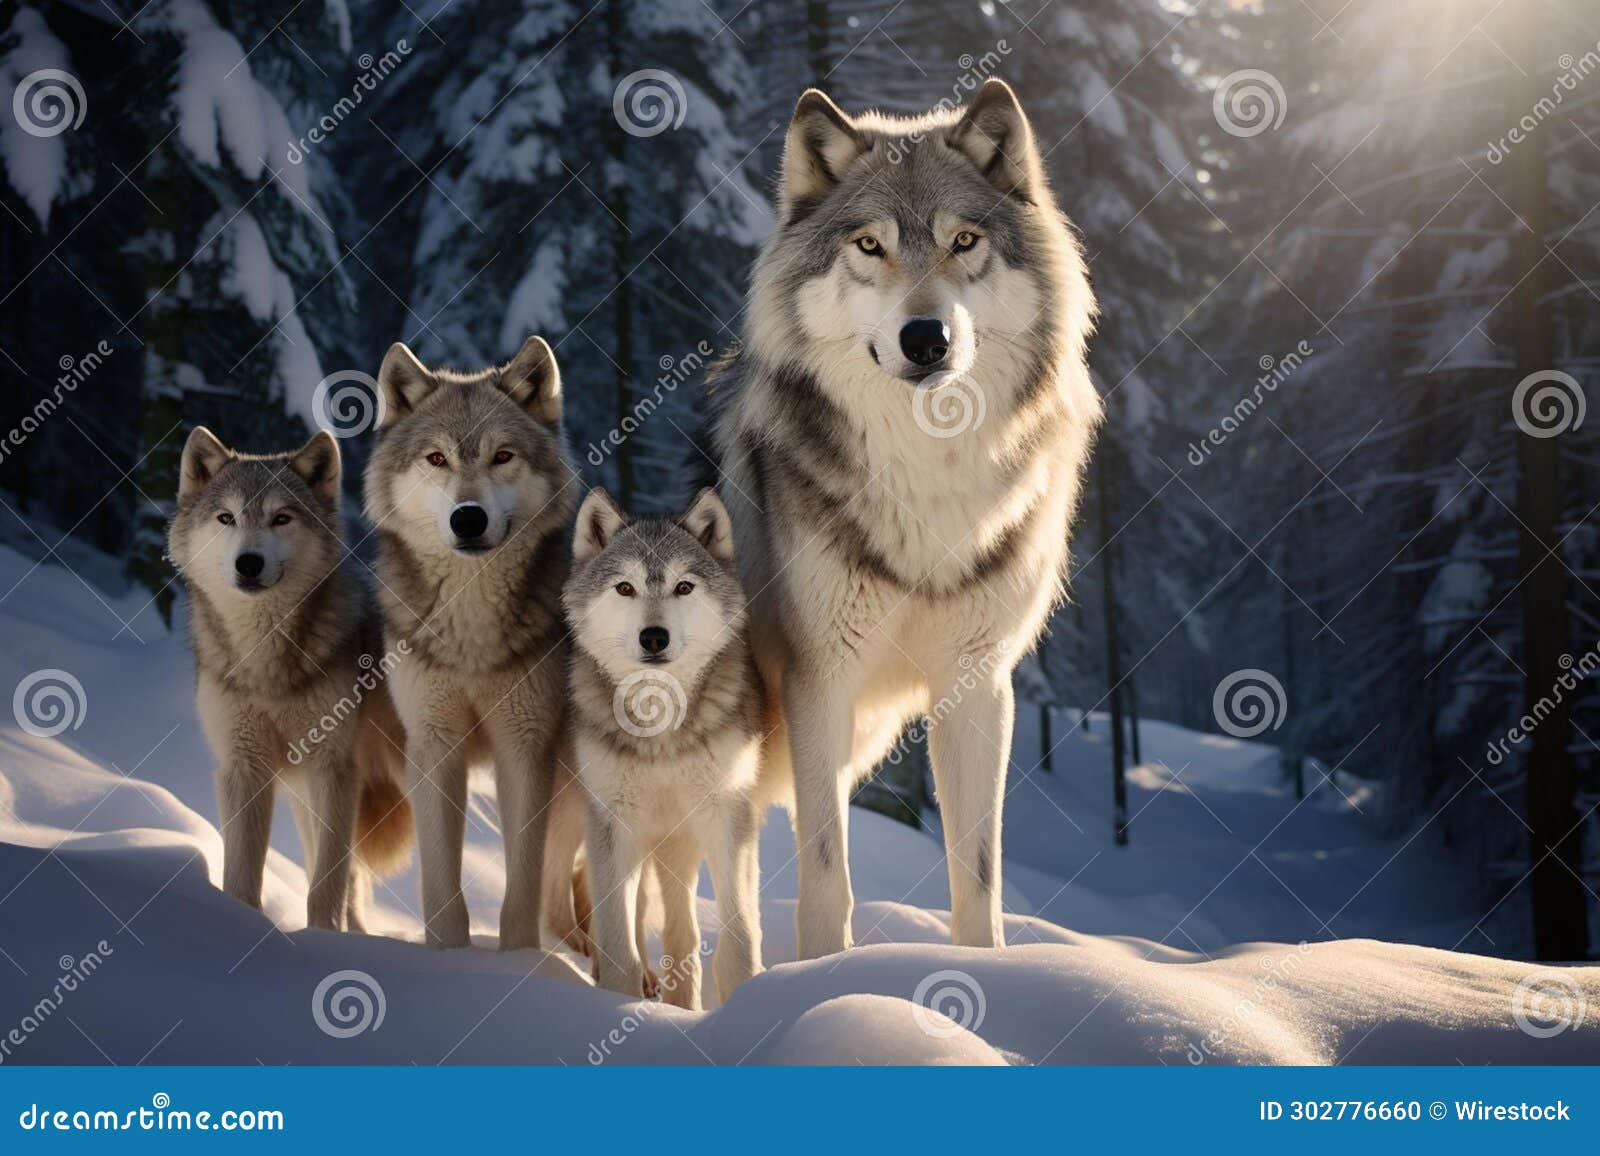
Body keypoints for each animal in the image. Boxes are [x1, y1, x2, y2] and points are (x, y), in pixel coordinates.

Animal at [169, 427, 414, 932]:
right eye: (226, 518)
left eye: (281, 518)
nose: (248, 563)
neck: (265, 664)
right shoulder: (243, 768)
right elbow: (243, 874)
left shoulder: (333, 769)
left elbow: (326, 883)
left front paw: (323, 938)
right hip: (306, 800)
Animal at [364, 335, 577, 950]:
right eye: (437, 459)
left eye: (502, 456)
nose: (468, 518)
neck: (471, 632)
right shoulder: (434, 745)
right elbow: (441, 887)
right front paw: (449, 957)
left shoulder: (524, 746)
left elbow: (522, 886)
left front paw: (519, 959)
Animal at [560, 487, 765, 1008]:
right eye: (625, 588)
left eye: (684, 587)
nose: (654, 636)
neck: (661, 723)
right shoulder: (615, 824)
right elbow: (619, 945)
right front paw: (619, 1002)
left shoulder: (726, 817)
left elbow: (738, 936)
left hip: (676, 844)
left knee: (680, 930)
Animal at [706, 78, 1102, 957]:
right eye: (869, 246)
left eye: (963, 241)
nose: (927, 338)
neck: (928, 476)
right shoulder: (820, 684)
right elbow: (827, 879)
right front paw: (822, 977)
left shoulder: (978, 687)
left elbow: (979, 879)